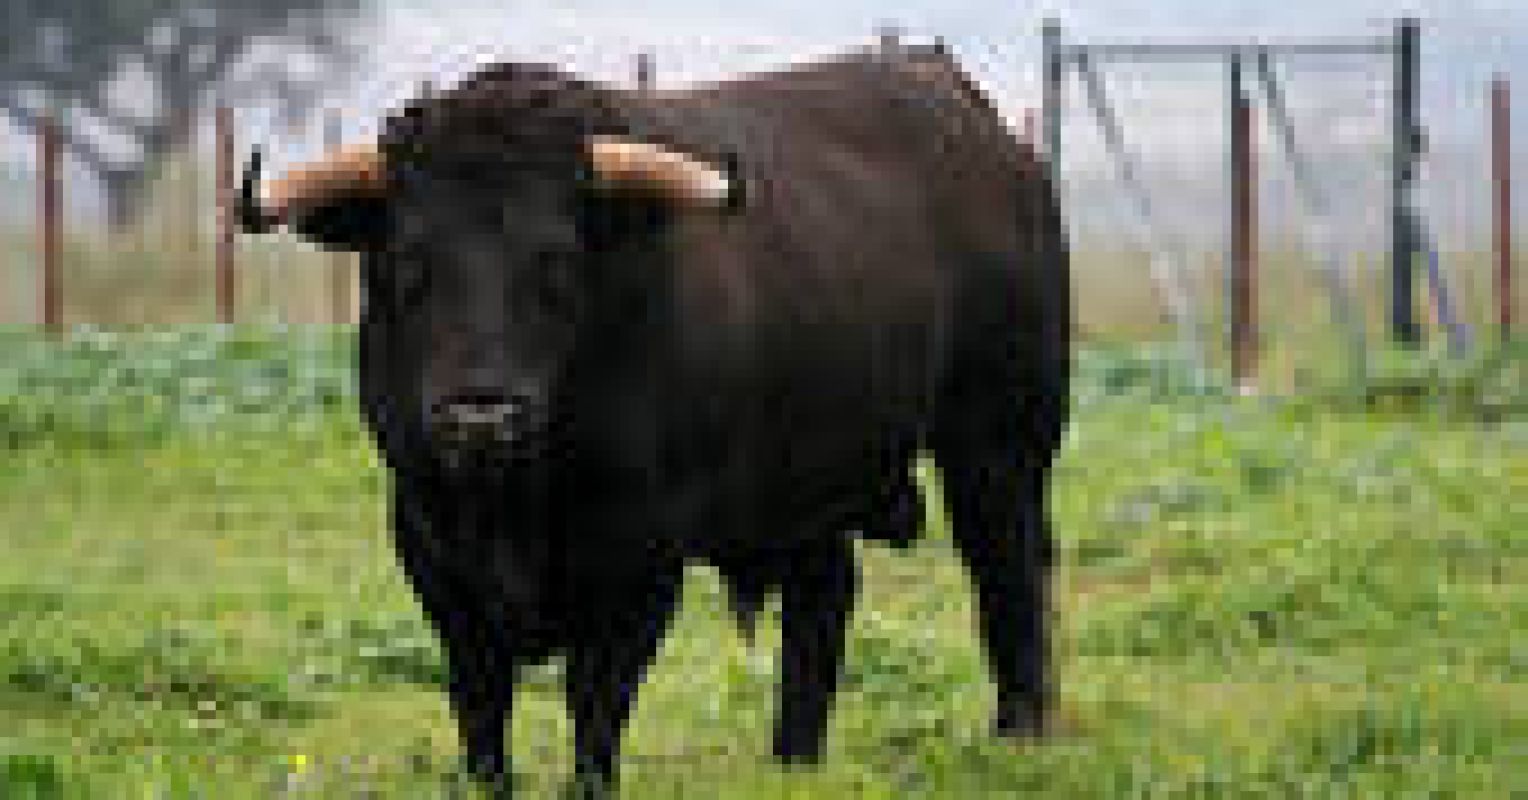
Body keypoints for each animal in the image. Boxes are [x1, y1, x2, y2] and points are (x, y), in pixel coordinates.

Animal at [237, 41, 1069, 797]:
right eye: (408, 262)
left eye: (557, 261)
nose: (482, 414)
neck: (517, 504)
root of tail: (972, 113)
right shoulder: (428, 541)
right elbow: (480, 700)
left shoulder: (639, 554)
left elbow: (597, 697)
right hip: (809, 483)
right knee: (824, 597)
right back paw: (793, 759)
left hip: (1001, 440)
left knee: (1008, 574)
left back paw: (1020, 734)